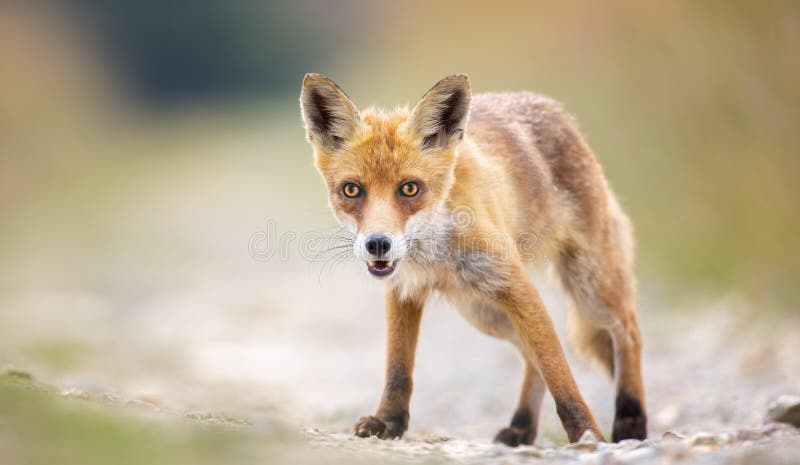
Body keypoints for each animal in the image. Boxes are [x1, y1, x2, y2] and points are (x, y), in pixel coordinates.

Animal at [299, 73, 647, 445]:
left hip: (586, 287)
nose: (378, 244)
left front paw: (586, 435)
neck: (433, 252)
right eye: (351, 190)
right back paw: (522, 427)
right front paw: (388, 422)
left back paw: (631, 420)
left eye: (410, 188)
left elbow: (560, 374)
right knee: (531, 357)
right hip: (483, 312)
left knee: (627, 331)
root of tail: (558, 111)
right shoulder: (403, 288)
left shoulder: (515, 284)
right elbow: (398, 368)